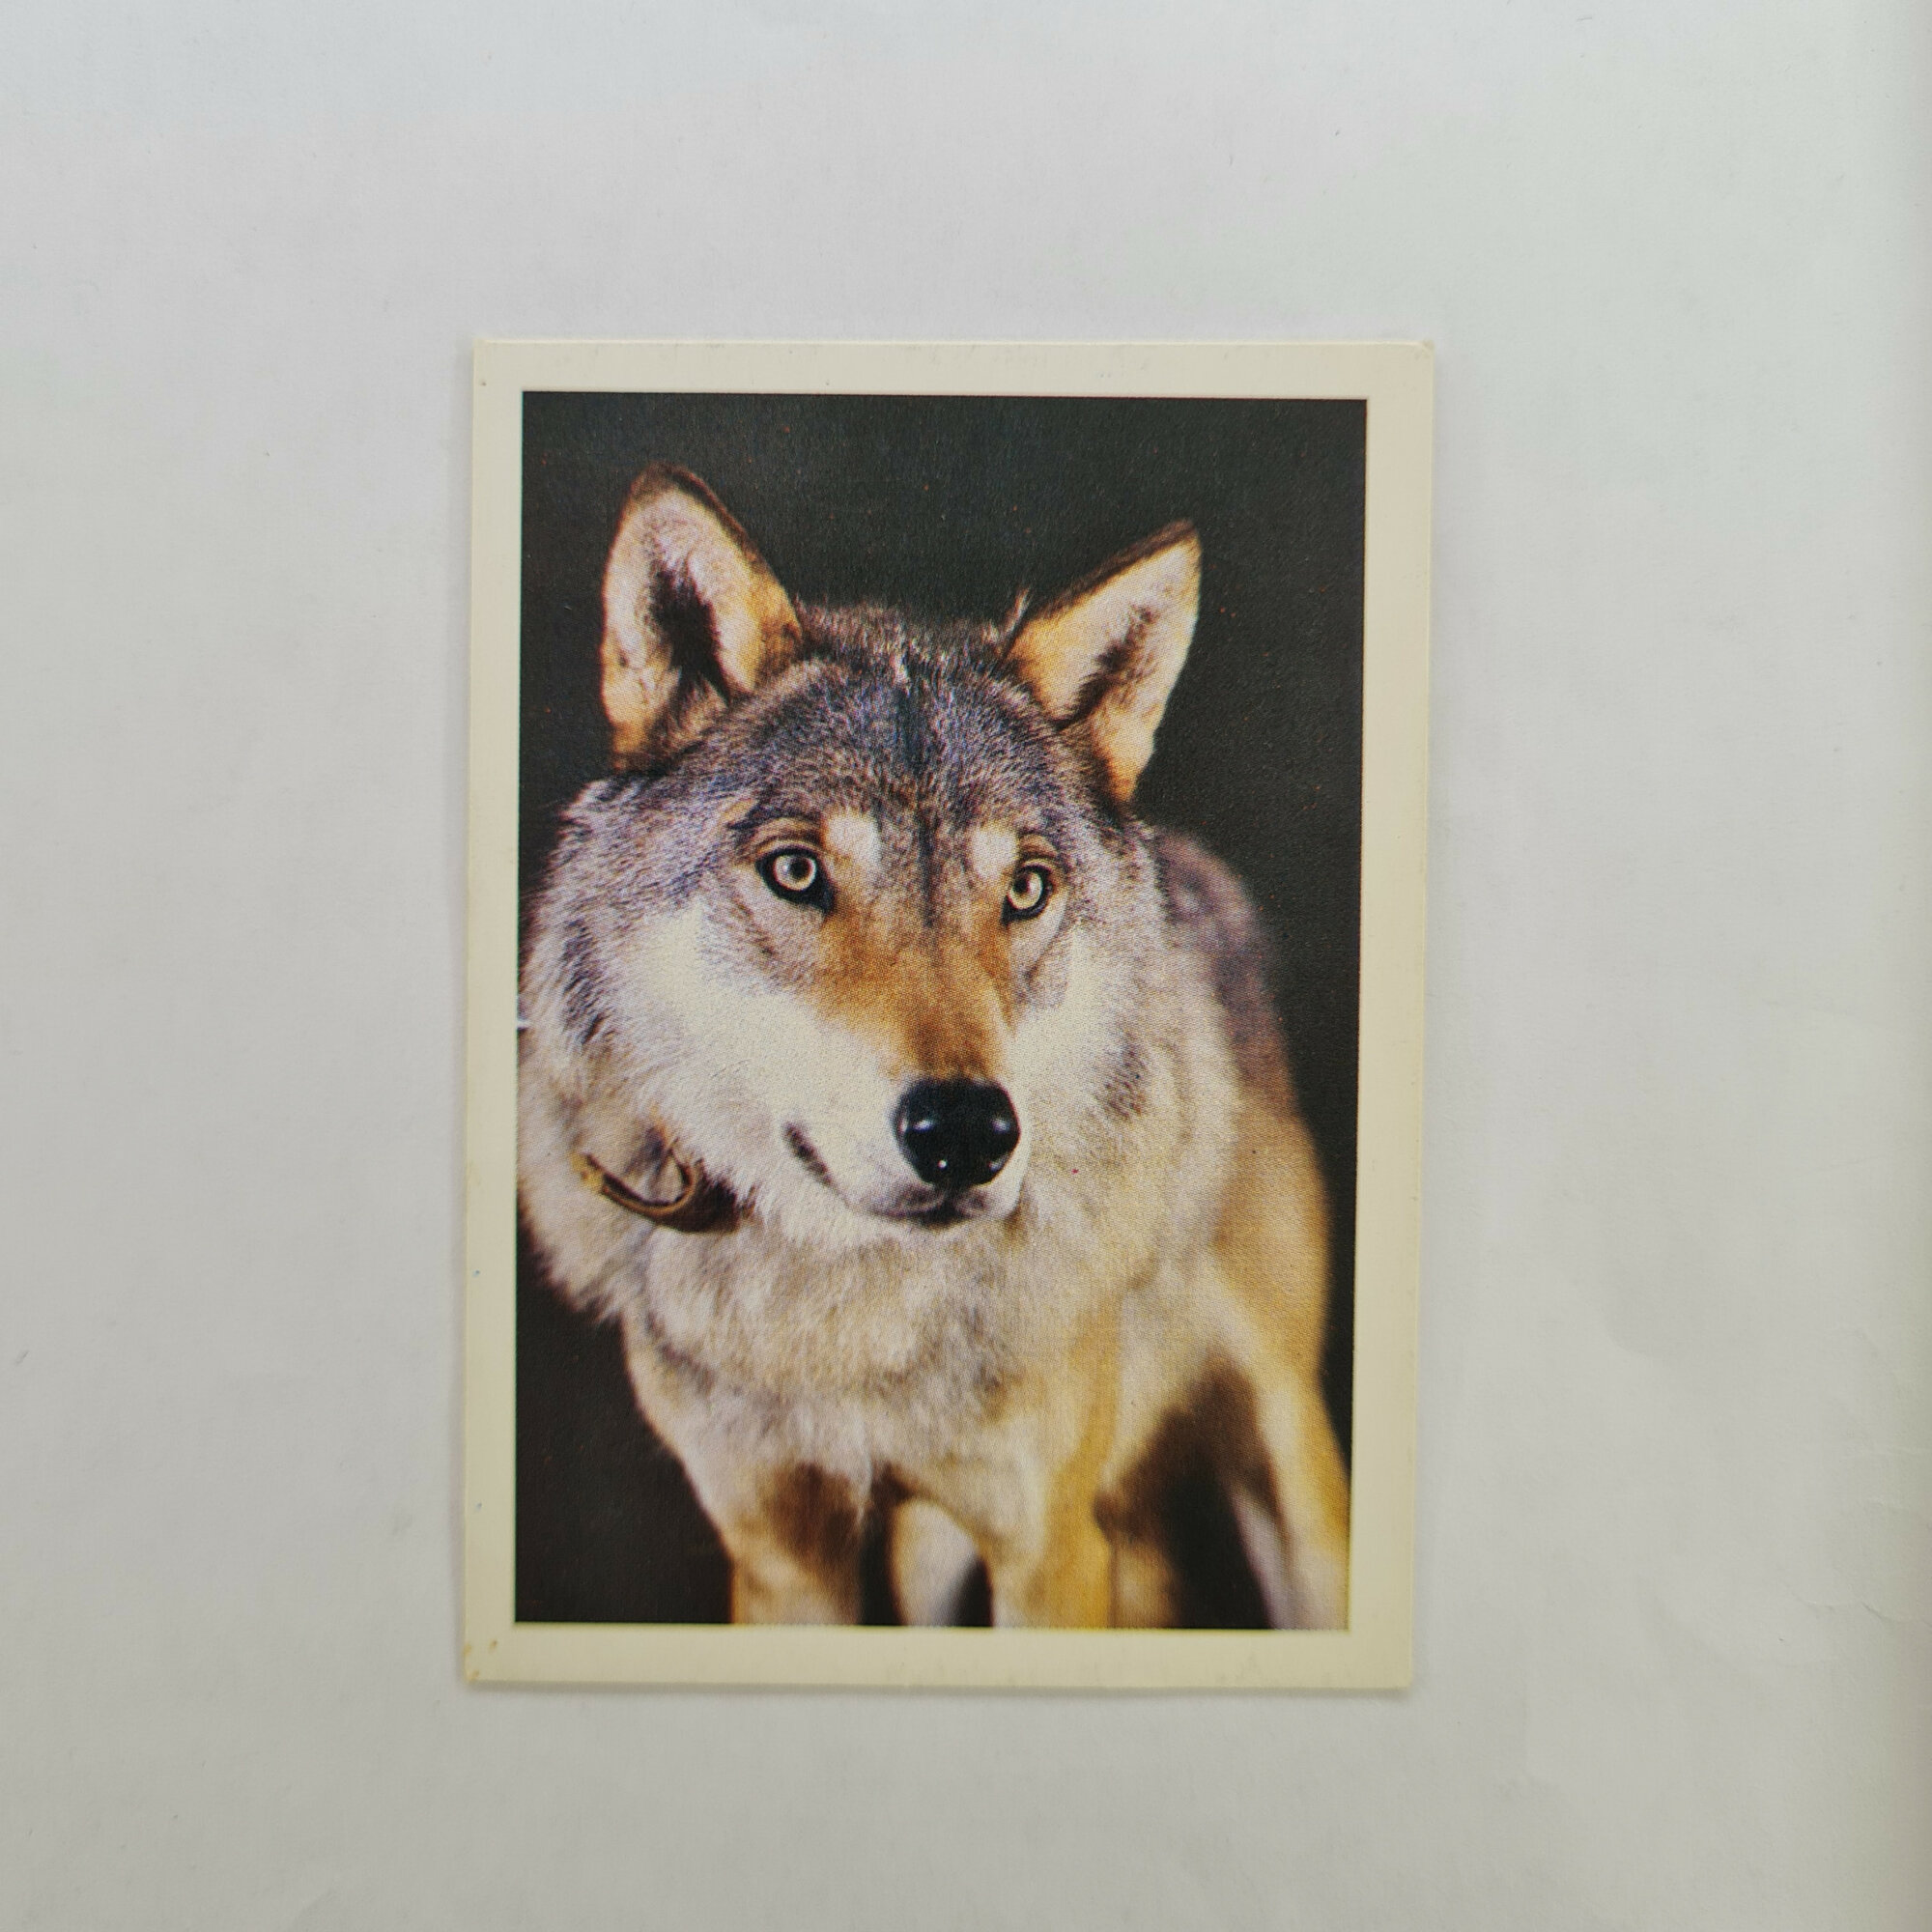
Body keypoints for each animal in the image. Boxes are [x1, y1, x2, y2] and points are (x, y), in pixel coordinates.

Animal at [517, 465, 1351, 1628]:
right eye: (795, 871)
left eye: (1026, 889)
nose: (966, 1131)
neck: (851, 1317)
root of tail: (1192, 869)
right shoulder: (778, 1556)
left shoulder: (1049, 1547)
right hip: (928, 1561)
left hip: (1287, 1465)